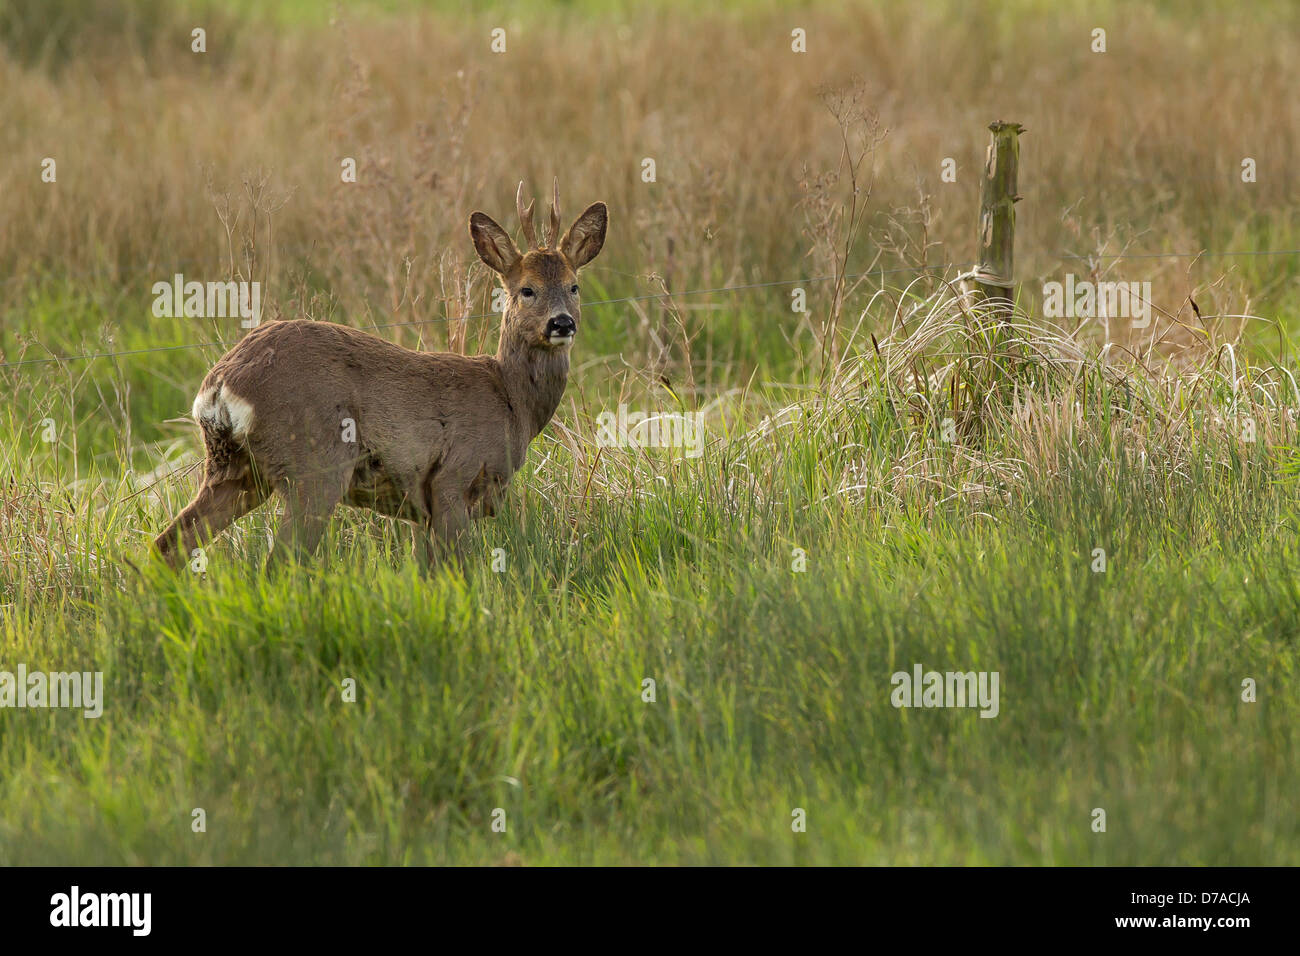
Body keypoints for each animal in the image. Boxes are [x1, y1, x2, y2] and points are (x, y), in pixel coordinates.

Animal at [153, 180, 607, 573]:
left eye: (574, 286)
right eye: (527, 289)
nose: (562, 323)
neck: (512, 401)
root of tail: (220, 385)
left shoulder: (421, 509)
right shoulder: (452, 477)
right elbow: (459, 568)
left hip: (234, 470)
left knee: (168, 543)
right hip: (314, 464)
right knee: (279, 561)